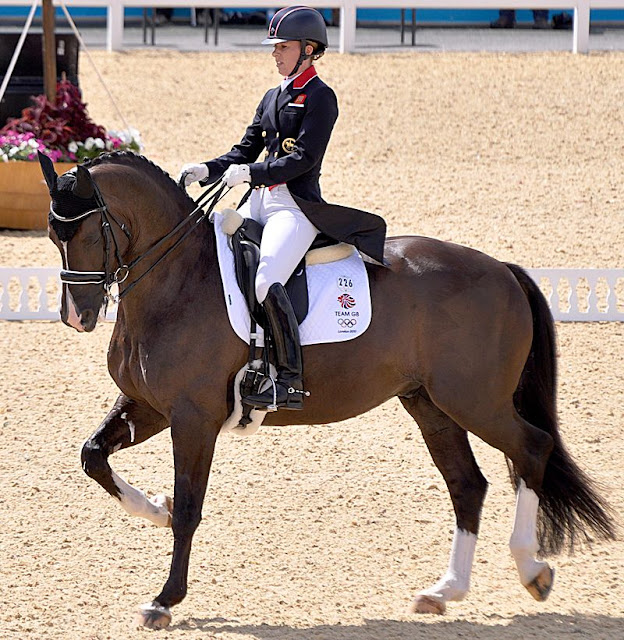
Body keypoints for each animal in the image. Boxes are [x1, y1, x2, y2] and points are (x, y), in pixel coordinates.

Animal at [39, 151, 615, 629]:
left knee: (532, 448)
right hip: (430, 404)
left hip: (476, 401)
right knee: (467, 484)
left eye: (90, 232)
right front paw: (154, 507)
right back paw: (444, 591)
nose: (76, 317)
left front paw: (164, 600)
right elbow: (94, 456)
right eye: (52, 235)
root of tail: (503, 270)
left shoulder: (192, 418)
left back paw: (532, 570)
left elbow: (189, 508)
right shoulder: (149, 407)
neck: (176, 282)